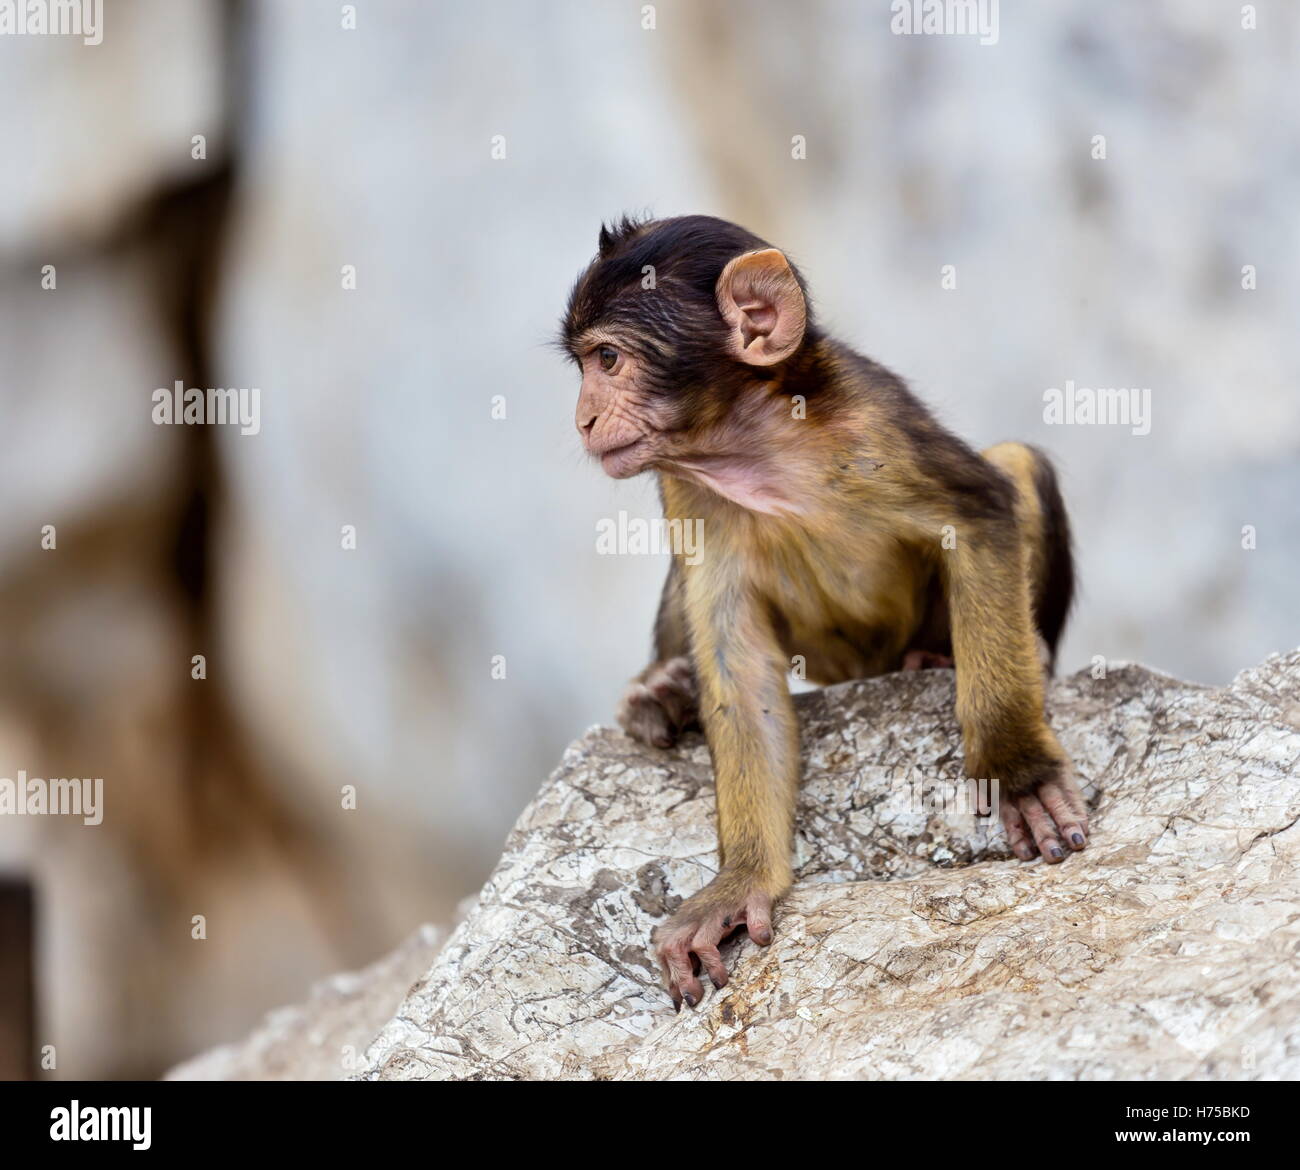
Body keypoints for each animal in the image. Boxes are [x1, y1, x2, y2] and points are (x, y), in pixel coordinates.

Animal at [561, 214, 1087, 1010]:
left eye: (609, 359)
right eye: (587, 366)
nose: (583, 418)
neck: (756, 447)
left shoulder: (877, 422)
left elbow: (983, 510)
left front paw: (1016, 770)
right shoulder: (692, 491)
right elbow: (737, 659)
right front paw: (741, 881)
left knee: (1017, 463)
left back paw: (940, 658)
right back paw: (665, 692)